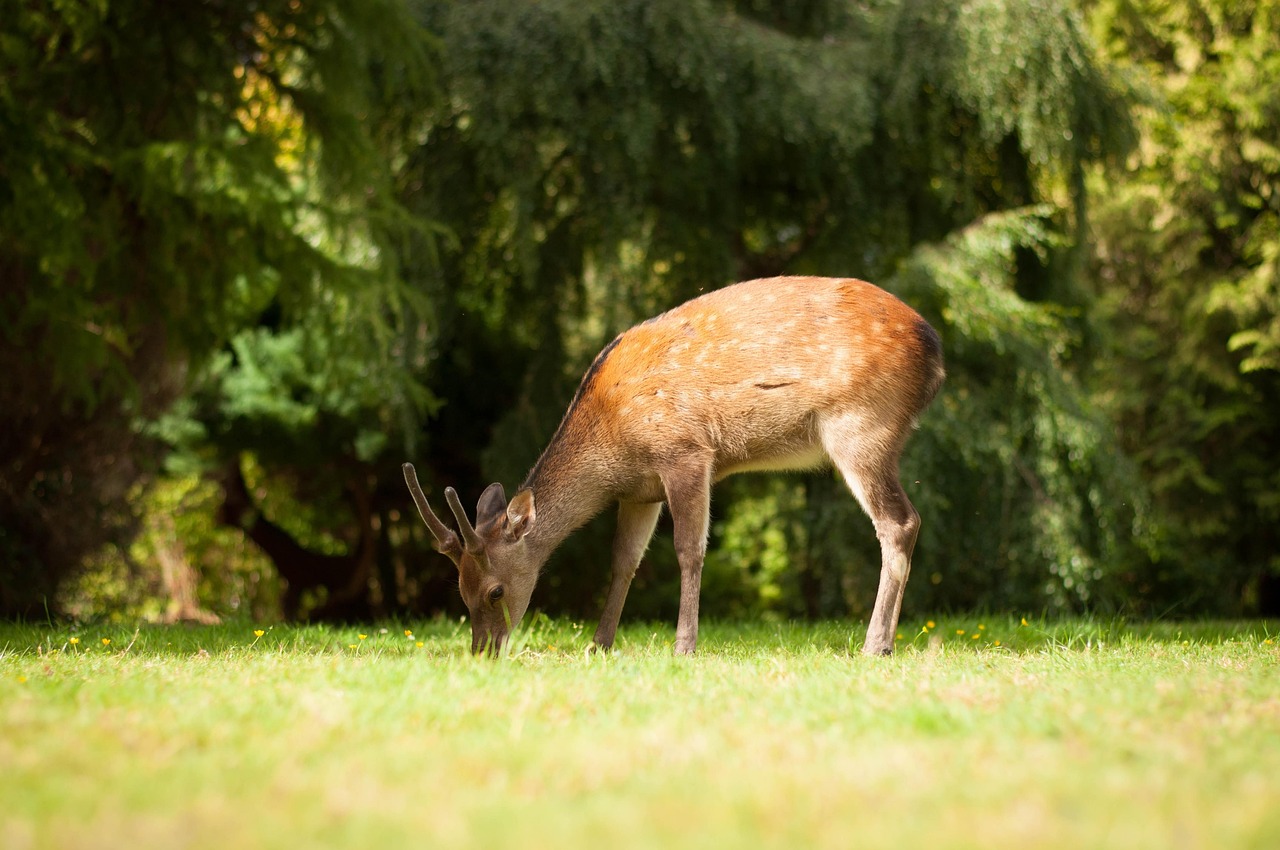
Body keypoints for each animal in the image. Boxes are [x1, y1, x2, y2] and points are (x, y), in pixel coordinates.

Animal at [403, 275, 945, 657]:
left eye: (495, 591)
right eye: (460, 590)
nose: (483, 651)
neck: (614, 446)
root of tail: (935, 352)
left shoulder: (685, 451)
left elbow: (689, 549)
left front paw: (684, 645)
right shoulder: (639, 491)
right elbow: (624, 560)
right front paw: (599, 644)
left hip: (862, 425)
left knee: (900, 521)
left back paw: (875, 644)